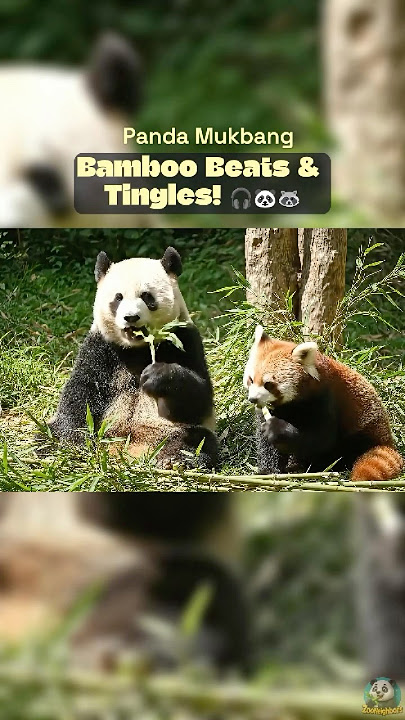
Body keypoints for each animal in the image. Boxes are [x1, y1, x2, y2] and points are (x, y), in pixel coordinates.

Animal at [48, 246, 219, 469]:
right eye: (118, 297)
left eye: (146, 296)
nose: (131, 317)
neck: (137, 348)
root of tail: (129, 451)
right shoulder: (100, 347)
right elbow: (80, 393)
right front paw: (75, 443)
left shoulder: (185, 338)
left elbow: (198, 400)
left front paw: (158, 376)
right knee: (48, 435)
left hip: (168, 431)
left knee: (197, 441)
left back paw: (174, 460)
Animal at [244, 326, 404, 481]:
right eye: (251, 380)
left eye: (268, 384)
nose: (253, 399)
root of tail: (387, 441)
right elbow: (267, 443)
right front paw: (267, 470)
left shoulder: (324, 399)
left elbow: (321, 439)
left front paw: (278, 429)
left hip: (361, 435)